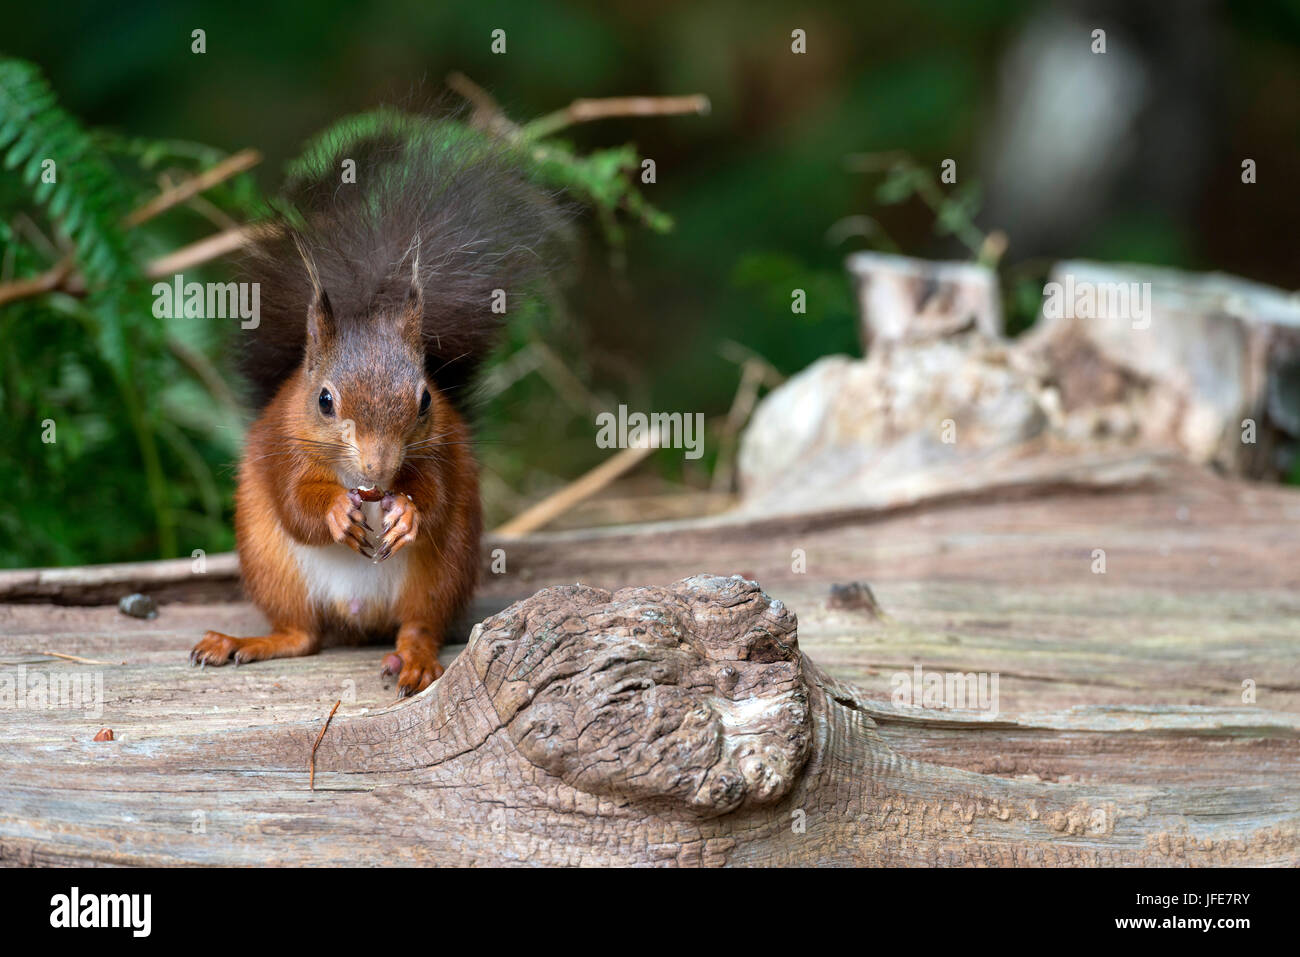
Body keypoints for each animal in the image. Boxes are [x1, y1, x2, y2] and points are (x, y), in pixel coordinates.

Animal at [190, 113, 568, 696]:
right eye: (323, 400)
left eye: (425, 399)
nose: (379, 469)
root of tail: (359, 617)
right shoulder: (281, 449)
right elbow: (295, 505)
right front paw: (333, 510)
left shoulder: (440, 454)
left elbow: (435, 496)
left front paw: (407, 510)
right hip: (273, 568)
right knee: (302, 635)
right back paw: (245, 642)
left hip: (440, 573)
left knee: (418, 627)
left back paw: (414, 659)